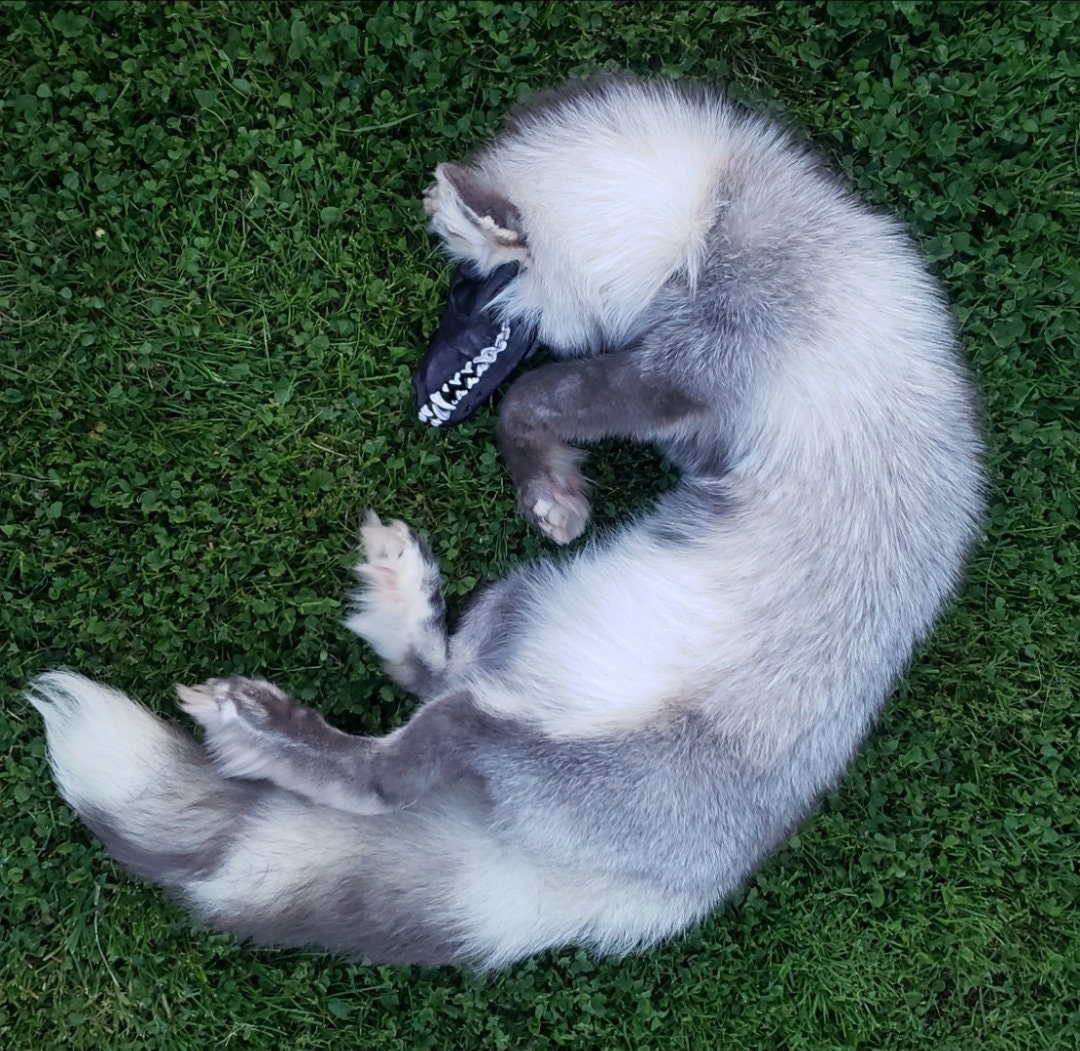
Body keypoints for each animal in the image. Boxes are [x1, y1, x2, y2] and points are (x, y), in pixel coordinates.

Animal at [31, 75, 984, 969]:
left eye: (469, 282)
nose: (421, 393)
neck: (714, 219)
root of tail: (664, 893)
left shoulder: (685, 374)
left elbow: (530, 398)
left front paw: (548, 488)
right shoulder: (683, 402)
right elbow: (542, 403)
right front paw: (550, 490)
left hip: (508, 725)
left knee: (387, 774)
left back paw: (263, 729)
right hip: (517, 605)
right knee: (432, 674)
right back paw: (399, 598)